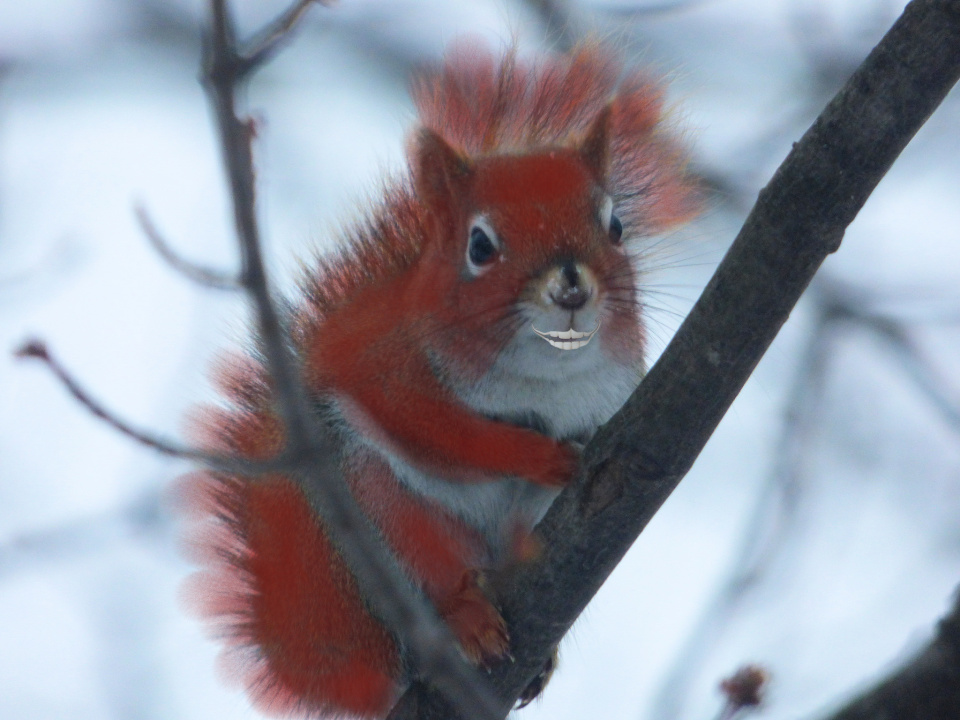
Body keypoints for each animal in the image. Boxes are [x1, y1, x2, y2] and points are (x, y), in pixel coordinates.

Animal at [179, 40, 695, 719]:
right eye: (479, 246)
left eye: (615, 227)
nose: (570, 285)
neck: (546, 376)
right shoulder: (386, 374)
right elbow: (444, 434)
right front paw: (536, 455)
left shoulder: (615, 393)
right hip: (373, 522)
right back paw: (461, 614)